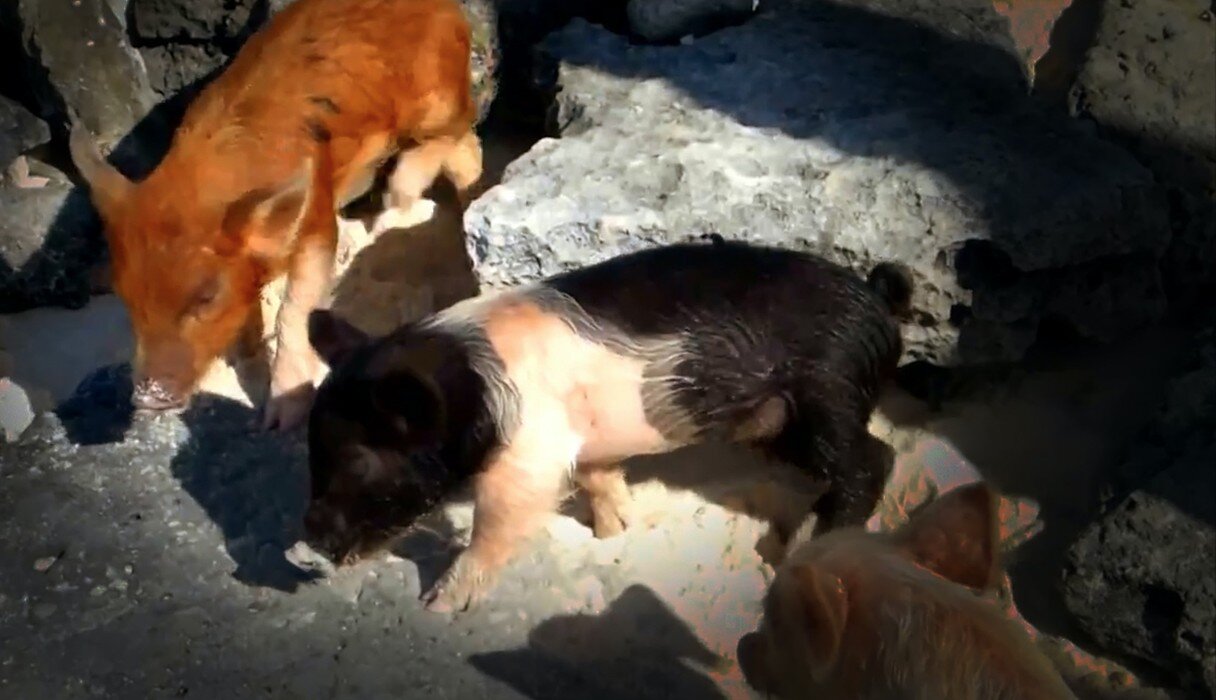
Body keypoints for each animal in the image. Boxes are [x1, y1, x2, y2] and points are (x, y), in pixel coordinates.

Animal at [68, 0, 484, 430]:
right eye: (125, 297)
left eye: (206, 295)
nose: (148, 399)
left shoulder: (317, 218)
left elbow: (294, 309)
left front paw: (279, 422)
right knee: (467, 151)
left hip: (440, 97)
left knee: (463, 131)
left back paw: (399, 193)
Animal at [296, 239, 912, 612]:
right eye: (311, 451)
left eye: (358, 460)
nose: (304, 548)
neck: (475, 389)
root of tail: (877, 301)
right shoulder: (583, 439)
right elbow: (597, 476)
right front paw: (615, 530)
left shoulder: (531, 454)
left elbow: (498, 520)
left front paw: (439, 606)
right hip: (776, 423)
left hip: (827, 395)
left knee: (871, 460)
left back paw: (804, 546)